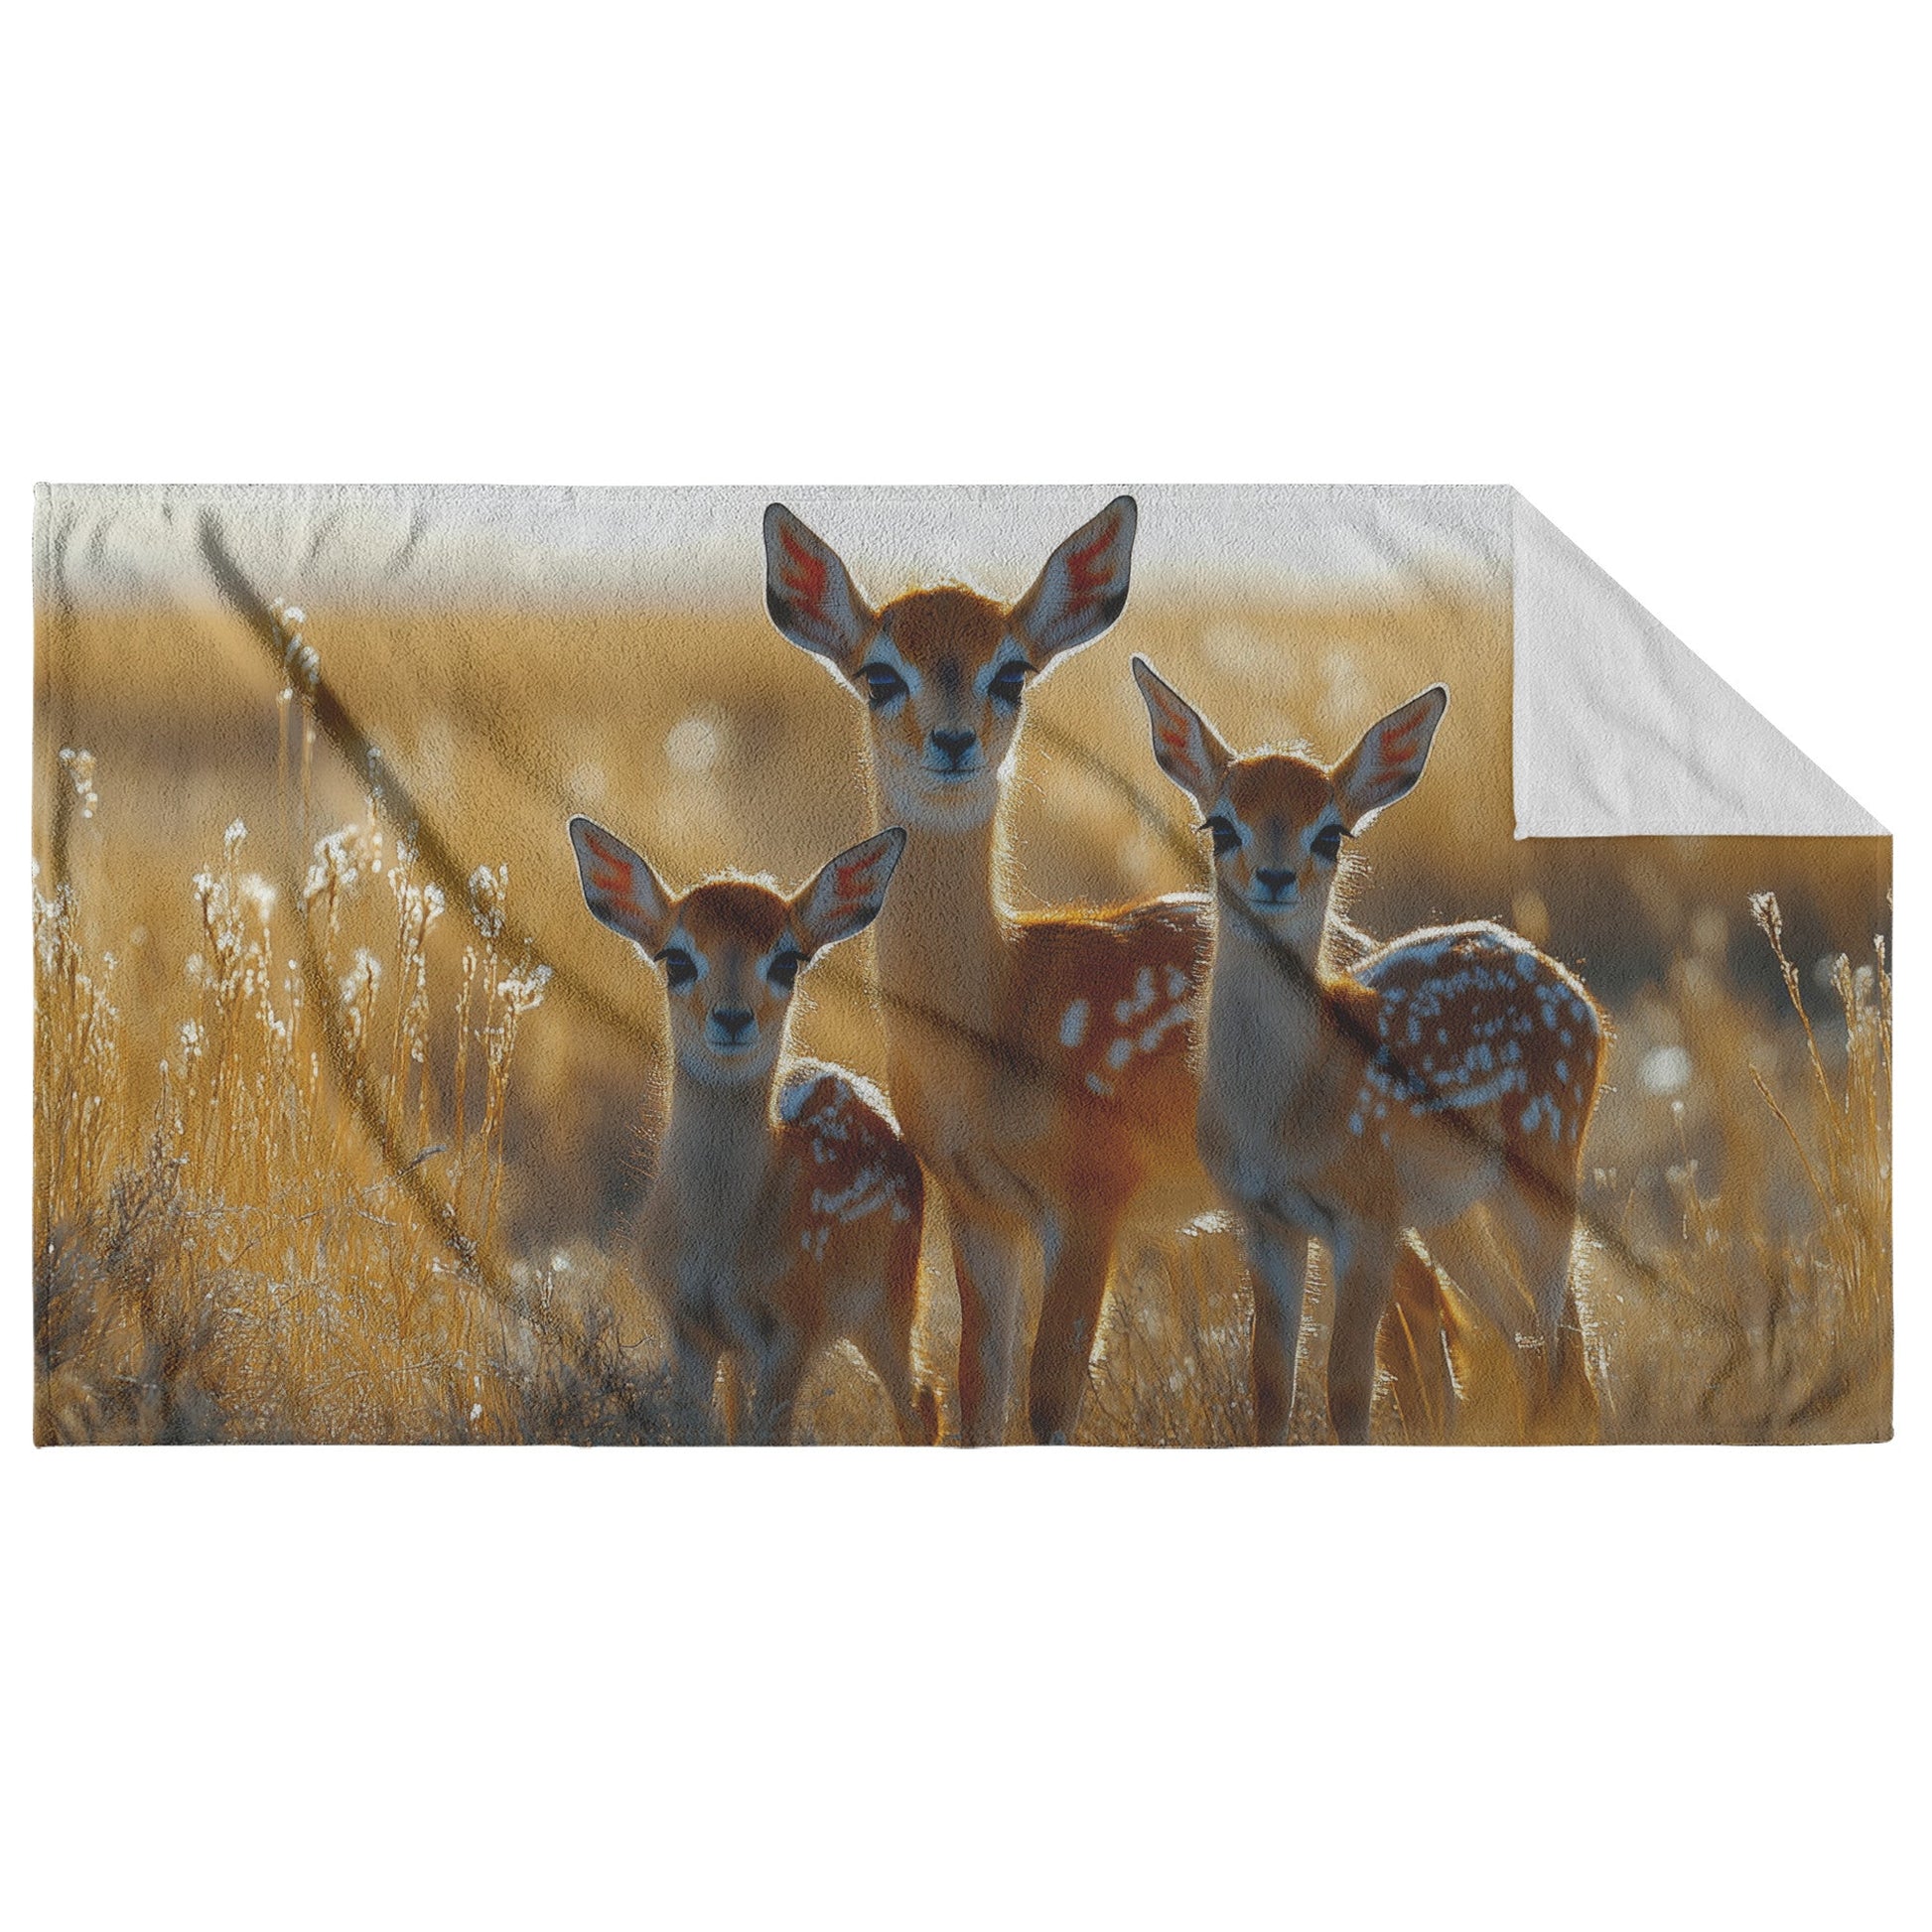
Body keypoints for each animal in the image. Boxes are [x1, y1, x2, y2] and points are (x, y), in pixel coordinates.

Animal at [567, 815, 936, 1445]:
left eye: (788, 961)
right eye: (676, 959)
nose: (733, 1017)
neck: (726, 1238)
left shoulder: (794, 1322)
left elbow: (772, 1435)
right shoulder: (685, 1320)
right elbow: (697, 1430)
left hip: (892, 1296)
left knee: (922, 1404)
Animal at [761, 496, 1217, 1444]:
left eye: (1011, 673)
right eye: (879, 675)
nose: (953, 740)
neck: (1001, 1012)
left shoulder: (1092, 1191)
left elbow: (1049, 1400)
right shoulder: (976, 1204)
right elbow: (981, 1388)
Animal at [1131, 657, 1605, 1445]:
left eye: (1331, 834)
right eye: (1220, 823)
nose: (1275, 877)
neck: (1290, 1106)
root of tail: (1583, 999)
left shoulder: (1369, 1215)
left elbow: (1349, 1386)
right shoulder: (1264, 1219)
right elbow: (1271, 1384)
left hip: (1545, 1164)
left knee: (1567, 1352)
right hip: (1451, 1210)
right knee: (1526, 1340)